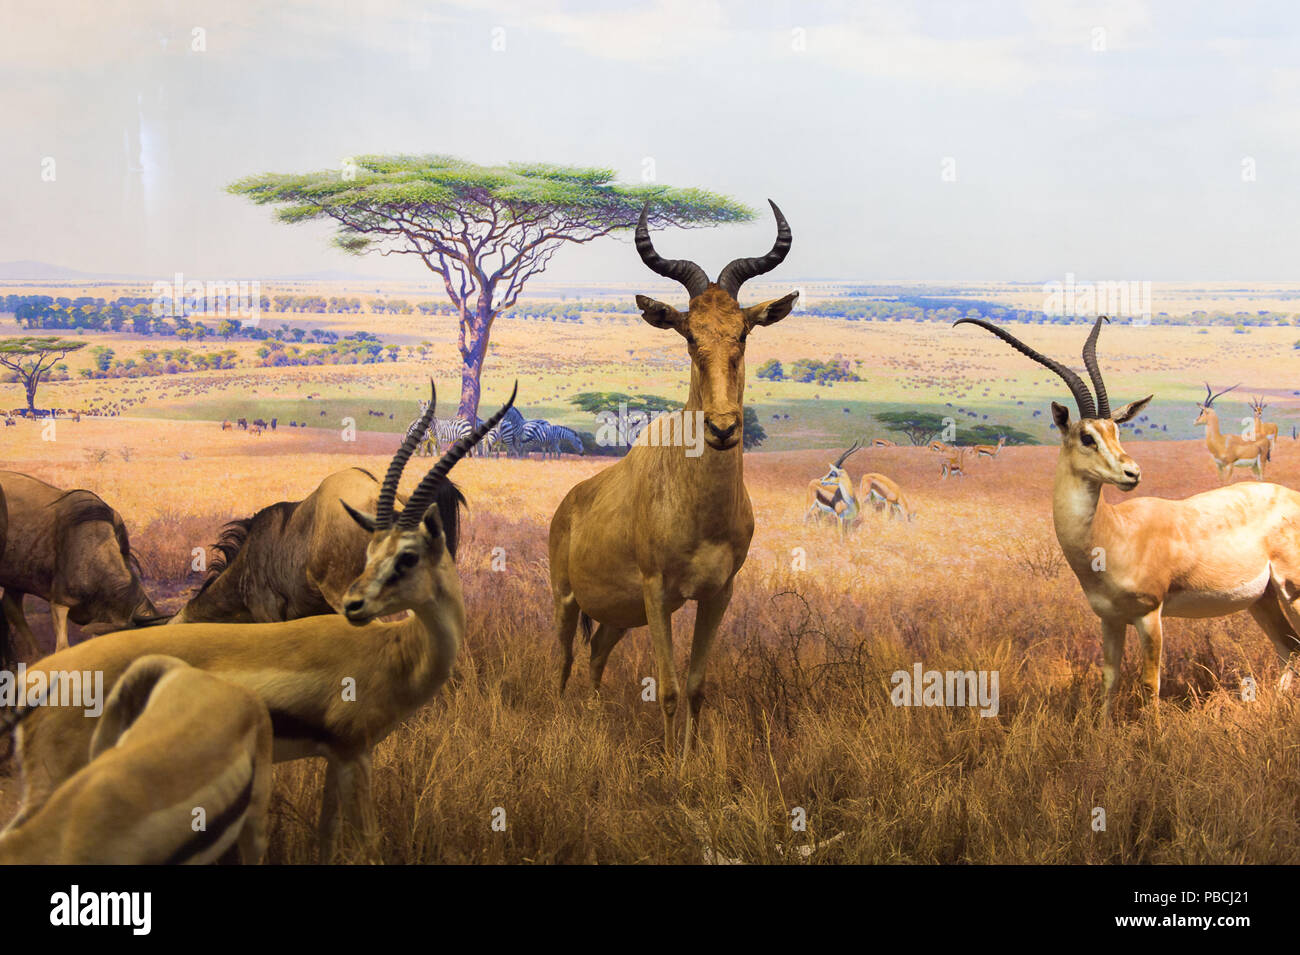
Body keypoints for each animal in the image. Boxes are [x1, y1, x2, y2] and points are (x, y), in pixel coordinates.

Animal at [549, 201, 797, 757]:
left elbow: (697, 685)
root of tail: (569, 501)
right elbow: (666, 689)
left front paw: (691, 756)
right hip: (567, 598)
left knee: (597, 654)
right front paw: (668, 763)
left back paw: (593, 716)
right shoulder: (658, 592)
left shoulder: (718, 594)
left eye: (743, 331)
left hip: (619, 613)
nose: (723, 429)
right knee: (563, 661)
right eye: (688, 334)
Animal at [957, 315, 1300, 714]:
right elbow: (1110, 680)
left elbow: (1150, 684)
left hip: (1291, 592)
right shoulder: (1110, 619)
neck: (1113, 535)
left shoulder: (1150, 615)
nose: (1132, 473)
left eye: (1116, 430)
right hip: (1262, 600)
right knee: (1288, 648)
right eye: (1087, 436)